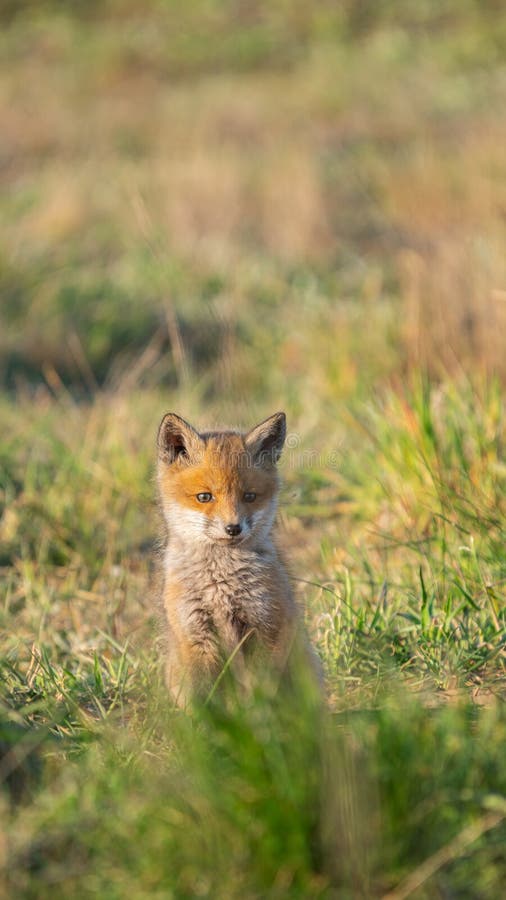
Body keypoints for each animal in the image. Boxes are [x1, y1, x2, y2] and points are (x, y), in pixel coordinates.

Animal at [155, 410, 300, 706]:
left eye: (249, 496)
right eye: (204, 497)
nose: (233, 528)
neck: (219, 585)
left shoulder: (264, 626)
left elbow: (262, 691)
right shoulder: (196, 636)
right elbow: (203, 699)